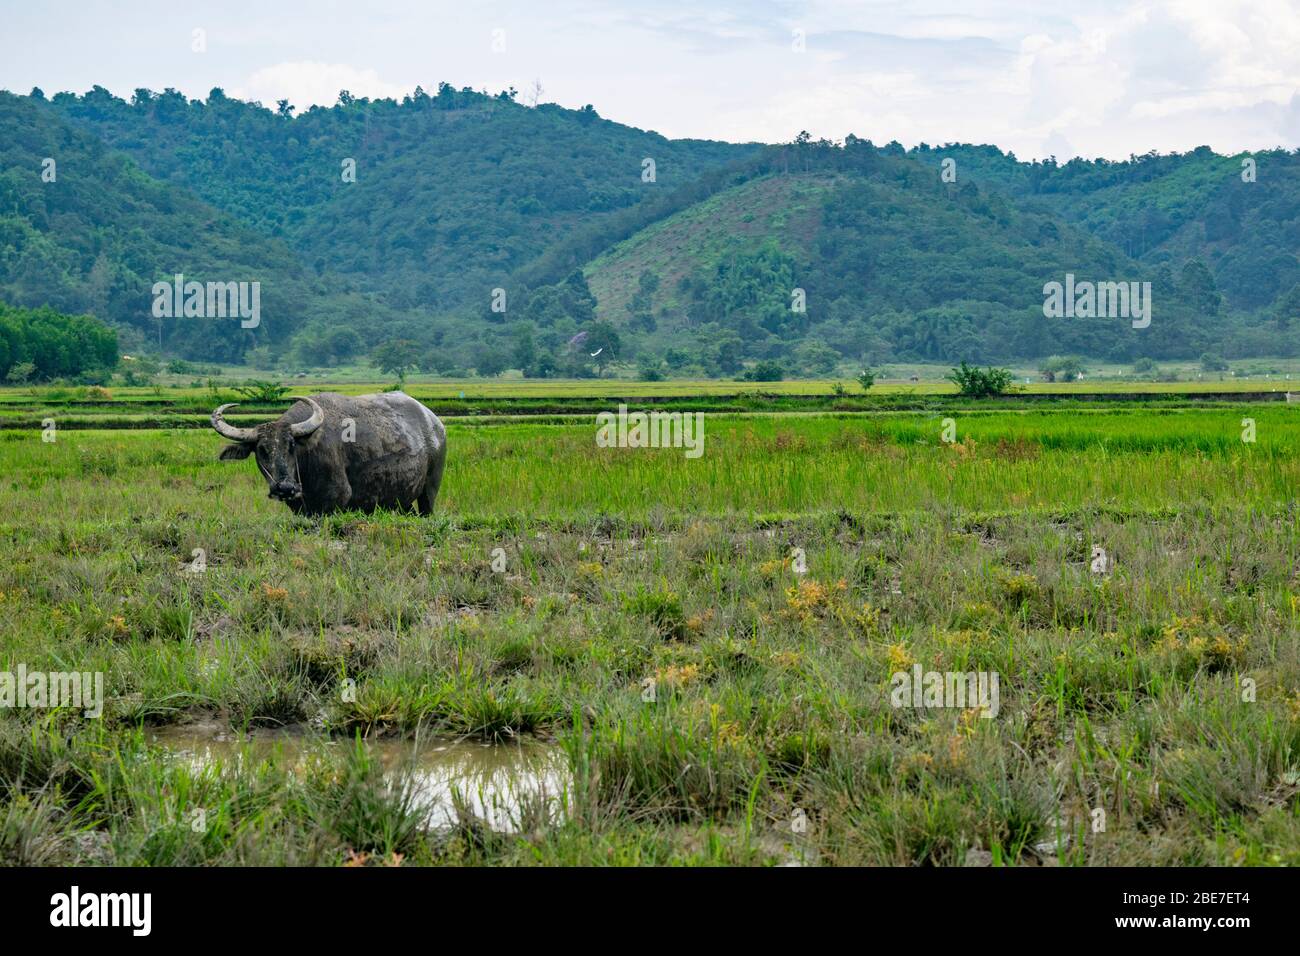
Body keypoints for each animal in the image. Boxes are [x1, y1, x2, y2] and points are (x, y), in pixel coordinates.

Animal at [211, 392, 446, 515]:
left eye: (291, 445)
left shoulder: (336, 501)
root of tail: (434, 422)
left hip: (430, 491)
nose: (285, 488)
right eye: (261, 450)